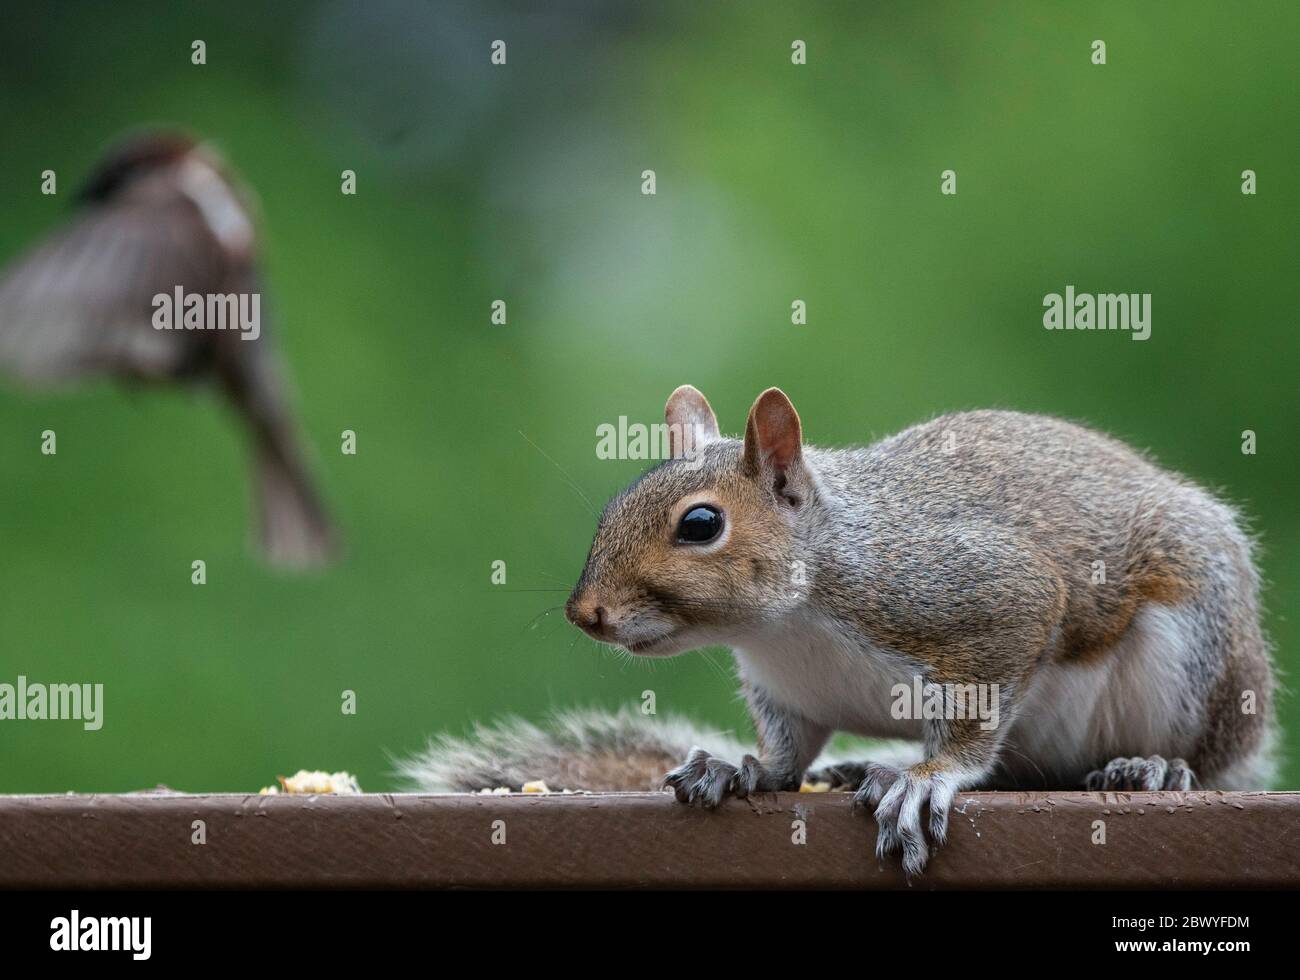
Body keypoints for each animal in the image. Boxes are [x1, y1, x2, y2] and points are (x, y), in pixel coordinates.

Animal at [401, 386, 1278, 874]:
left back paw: (1150, 767)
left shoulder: (986, 596)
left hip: (1193, 658)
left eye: (700, 524)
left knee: (1207, 758)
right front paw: (740, 768)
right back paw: (862, 767)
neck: (788, 624)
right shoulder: (788, 692)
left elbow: (976, 717)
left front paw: (931, 778)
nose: (586, 613)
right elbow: (788, 754)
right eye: (613, 507)